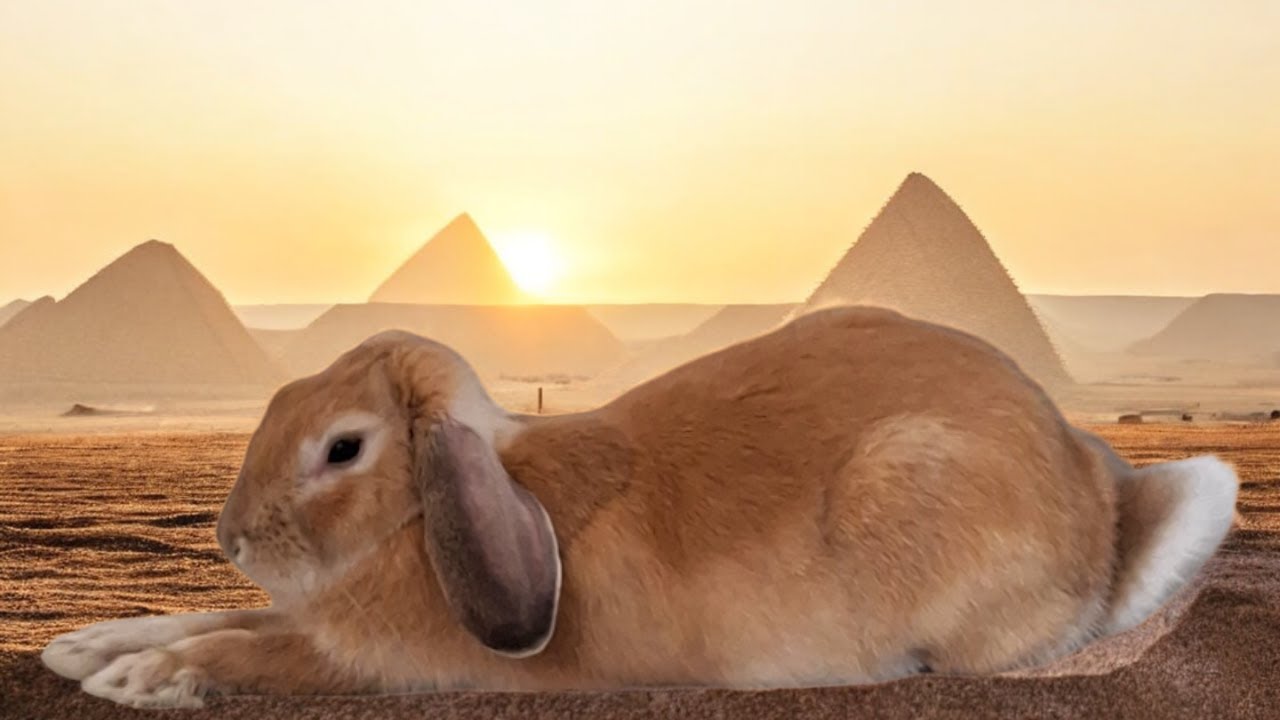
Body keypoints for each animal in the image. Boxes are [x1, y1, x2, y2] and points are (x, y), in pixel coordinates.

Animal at [41, 306, 1238, 708]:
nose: (230, 536)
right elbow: (221, 615)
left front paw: (145, 679)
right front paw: (91, 647)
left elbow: (256, 649)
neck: (421, 525)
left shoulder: (385, 664)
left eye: (342, 448)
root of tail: (1104, 514)